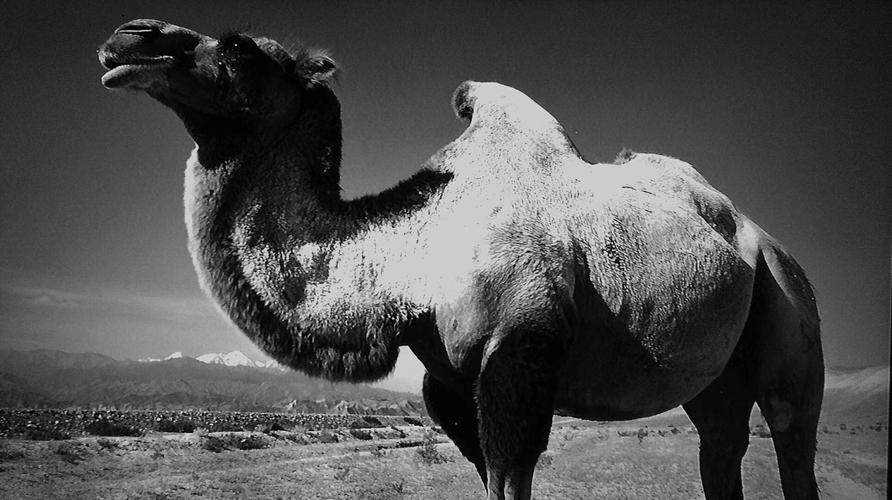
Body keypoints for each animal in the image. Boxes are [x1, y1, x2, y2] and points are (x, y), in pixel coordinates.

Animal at [99, 19, 824, 500]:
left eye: (239, 45)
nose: (129, 38)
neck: (410, 256)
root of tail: (762, 237)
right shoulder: (446, 381)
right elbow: (483, 474)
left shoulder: (520, 347)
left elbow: (510, 474)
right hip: (717, 374)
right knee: (721, 444)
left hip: (787, 297)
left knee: (791, 435)